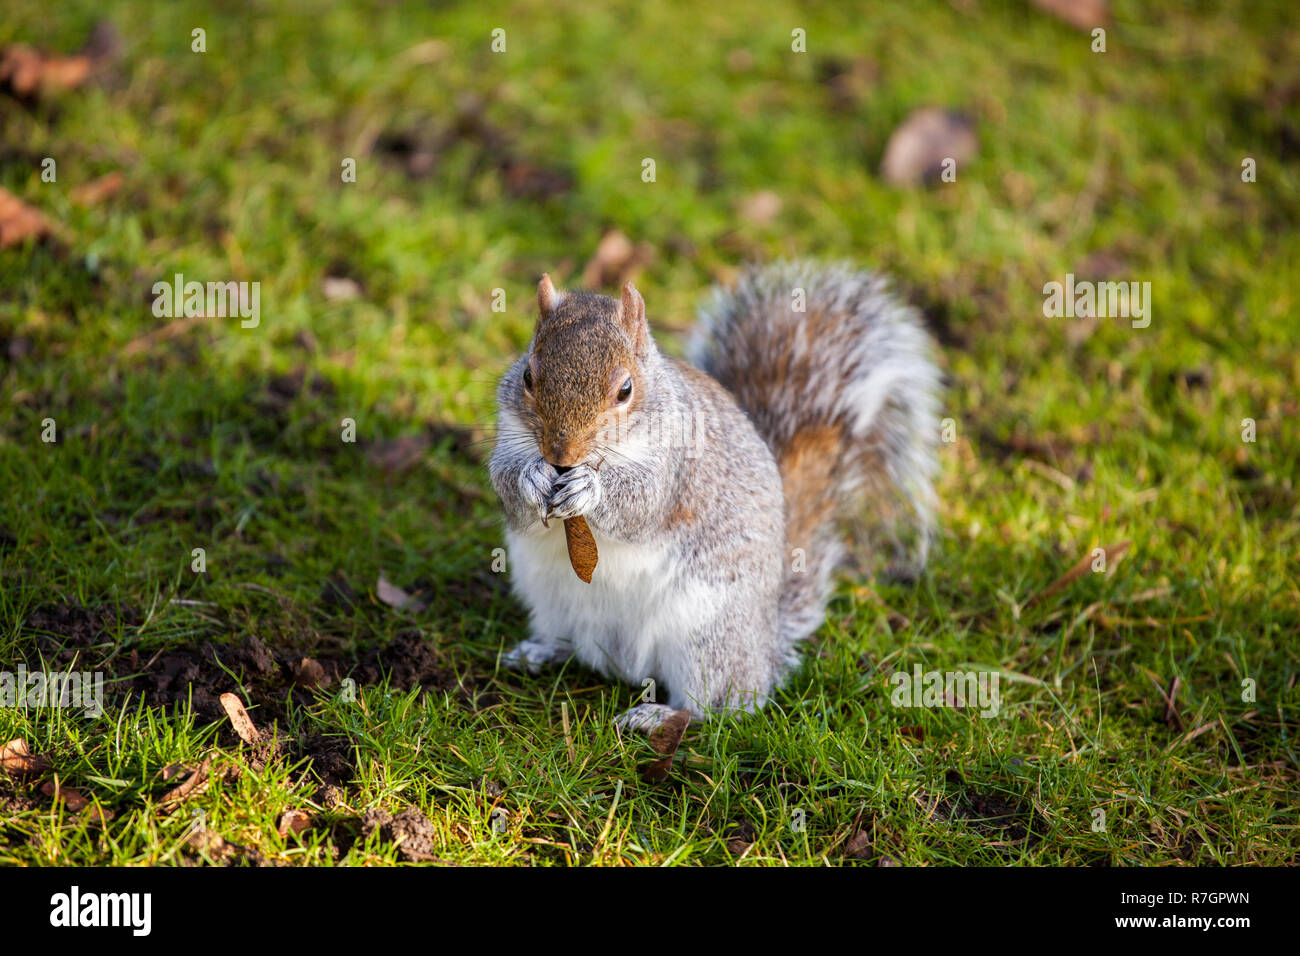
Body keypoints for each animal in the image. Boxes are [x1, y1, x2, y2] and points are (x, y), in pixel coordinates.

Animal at [489, 261, 941, 733]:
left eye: (625, 390)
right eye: (527, 376)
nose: (561, 456)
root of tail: (765, 644)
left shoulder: (675, 467)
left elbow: (641, 503)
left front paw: (589, 489)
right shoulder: (507, 436)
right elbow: (504, 481)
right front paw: (532, 478)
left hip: (707, 636)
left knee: (718, 707)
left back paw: (658, 713)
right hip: (552, 603)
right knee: (574, 645)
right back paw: (541, 651)